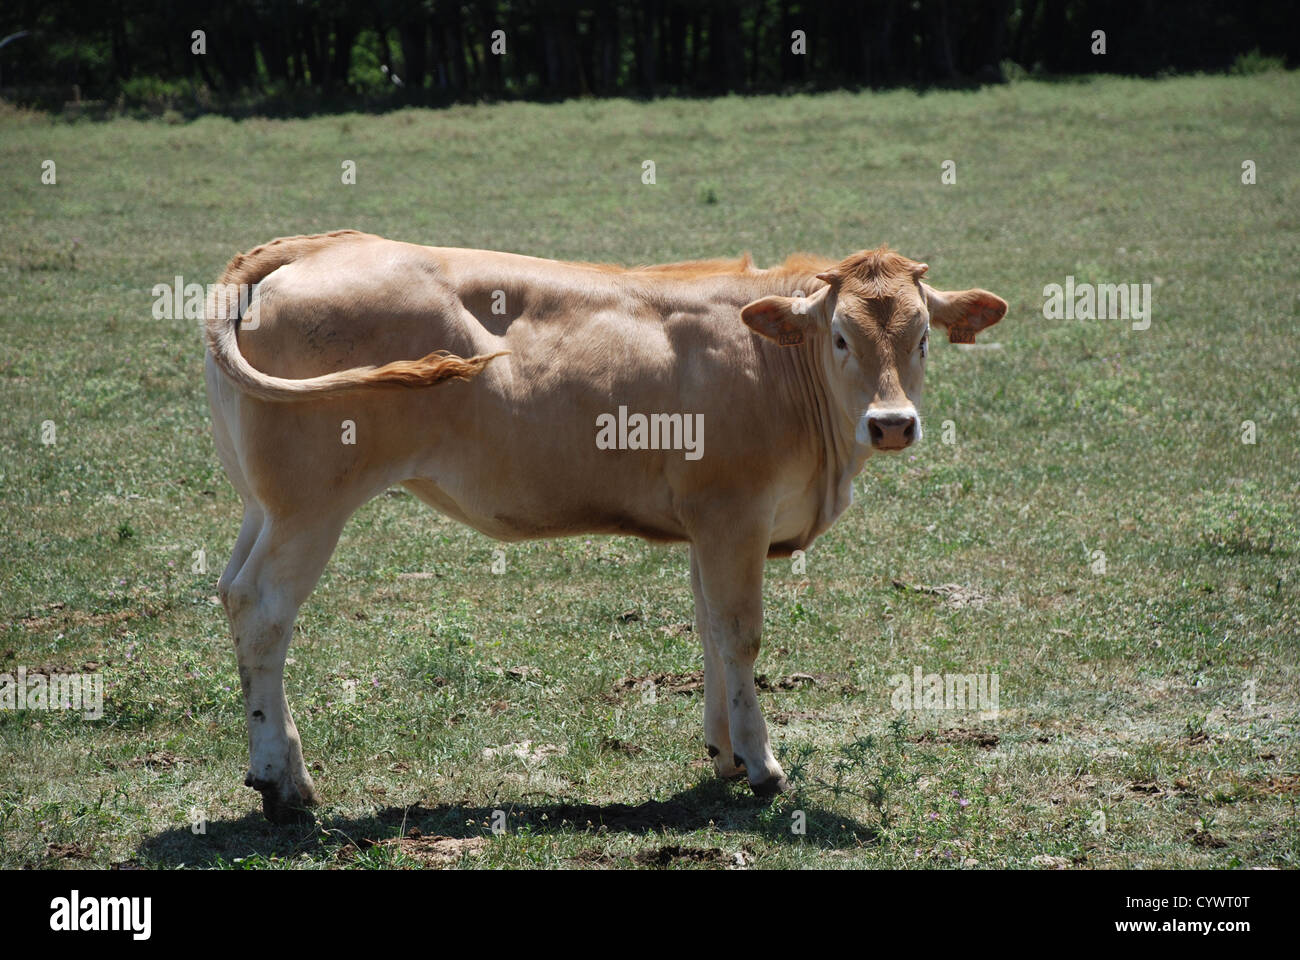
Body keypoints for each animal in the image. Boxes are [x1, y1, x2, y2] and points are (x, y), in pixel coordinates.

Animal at [204, 230, 1007, 822]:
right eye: (840, 336)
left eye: (923, 337)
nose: (892, 423)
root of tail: (320, 245)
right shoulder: (734, 514)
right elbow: (741, 635)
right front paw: (762, 764)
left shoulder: (707, 524)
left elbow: (709, 631)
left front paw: (724, 754)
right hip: (312, 506)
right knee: (265, 611)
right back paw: (282, 781)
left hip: (263, 506)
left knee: (233, 593)